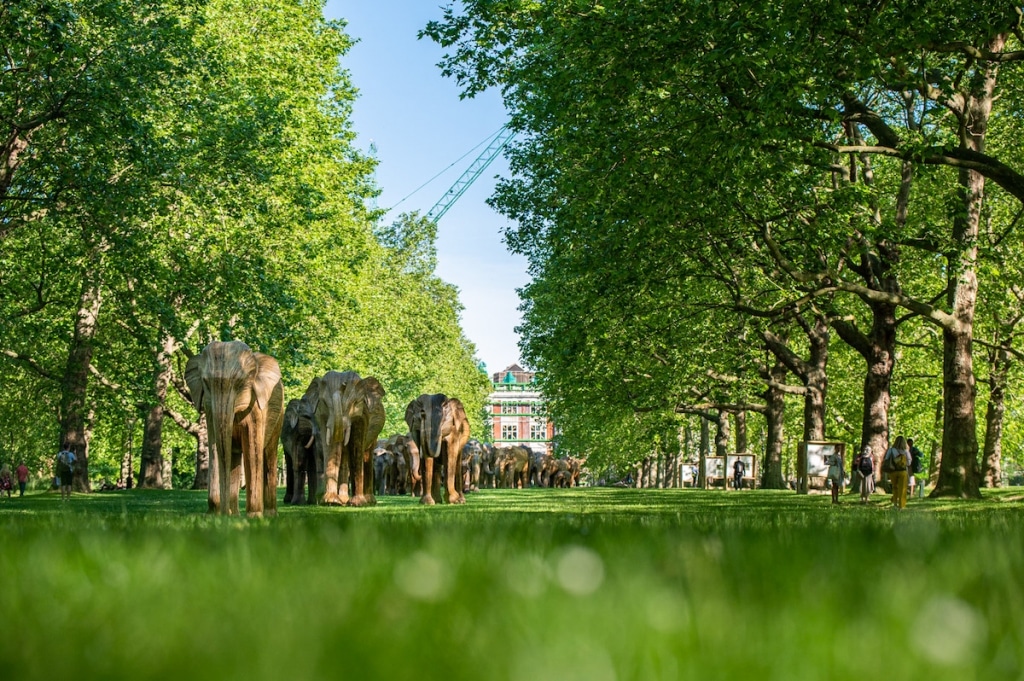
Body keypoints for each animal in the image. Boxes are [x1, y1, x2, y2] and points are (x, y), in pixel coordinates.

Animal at [185, 340, 284, 517]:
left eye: (240, 382)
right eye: (206, 382)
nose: (225, 514)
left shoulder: (256, 407)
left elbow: (252, 449)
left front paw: (254, 517)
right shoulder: (209, 408)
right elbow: (215, 447)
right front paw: (215, 516)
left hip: (279, 416)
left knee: (268, 455)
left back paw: (270, 515)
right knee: (235, 455)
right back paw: (237, 514)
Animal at [307, 370, 386, 507]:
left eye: (355, 402)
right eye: (324, 403)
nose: (343, 385)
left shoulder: (364, 414)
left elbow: (356, 449)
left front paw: (357, 503)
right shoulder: (322, 416)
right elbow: (332, 449)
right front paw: (331, 502)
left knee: (367, 454)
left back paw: (369, 501)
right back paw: (343, 500)